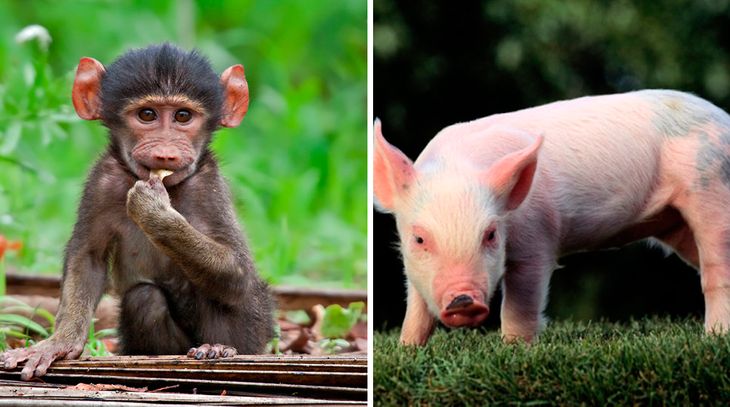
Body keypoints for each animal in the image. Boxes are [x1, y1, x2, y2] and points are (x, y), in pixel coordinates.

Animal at [0, 43, 275, 380]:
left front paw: (155, 214)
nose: (165, 153)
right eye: (147, 115)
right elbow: (87, 257)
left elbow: (239, 274)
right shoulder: (101, 181)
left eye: (183, 116)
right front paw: (59, 343)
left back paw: (218, 348)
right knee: (143, 298)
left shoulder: (208, 187)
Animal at [374, 89, 730, 345]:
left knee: (716, 269)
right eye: (419, 238)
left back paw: (713, 338)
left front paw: (514, 351)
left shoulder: (537, 238)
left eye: (490, 235)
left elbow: (519, 305)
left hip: (712, 190)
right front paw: (407, 349)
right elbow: (416, 310)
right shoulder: (413, 269)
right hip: (676, 223)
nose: (463, 299)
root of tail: (724, 120)